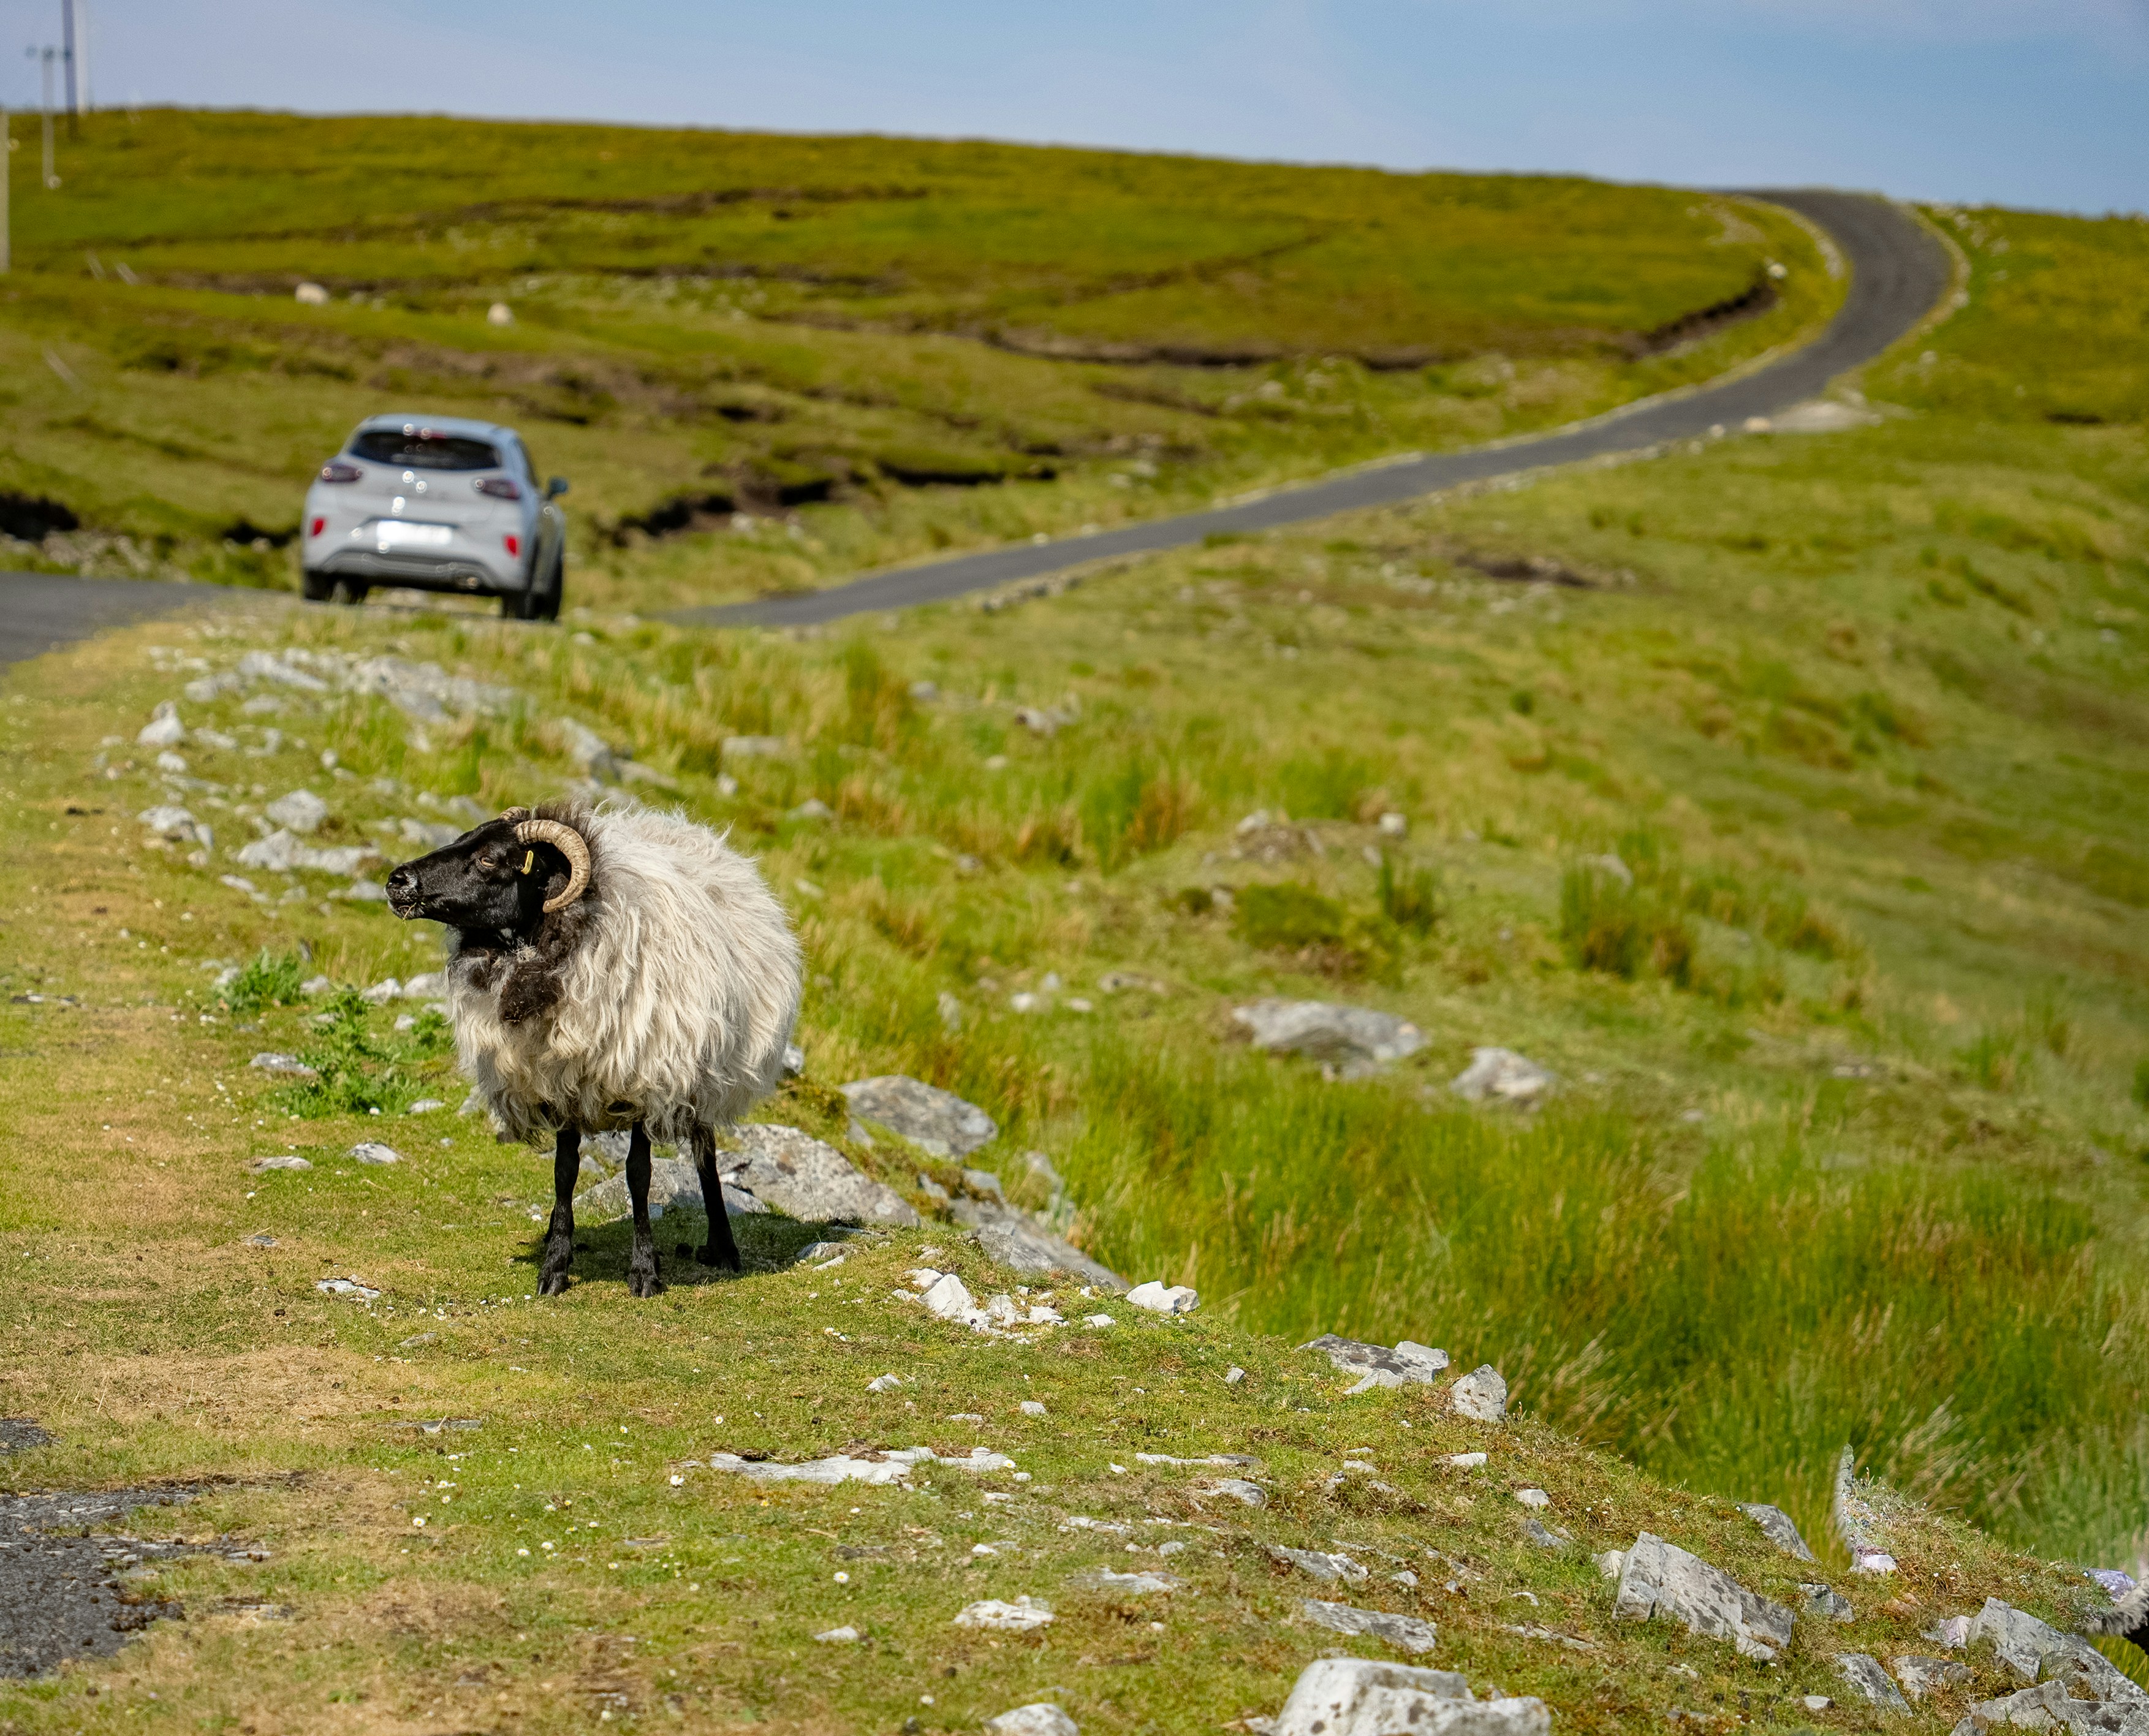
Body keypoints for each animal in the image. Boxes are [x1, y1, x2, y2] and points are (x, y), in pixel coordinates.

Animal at [383, 796, 801, 1297]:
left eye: (488, 859)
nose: (397, 880)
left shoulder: (645, 1079)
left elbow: (639, 1175)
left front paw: (644, 1271)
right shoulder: (560, 1079)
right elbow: (565, 1171)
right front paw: (555, 1264)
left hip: (700, 1074)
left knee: (705, 1154)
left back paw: (722, 1247)